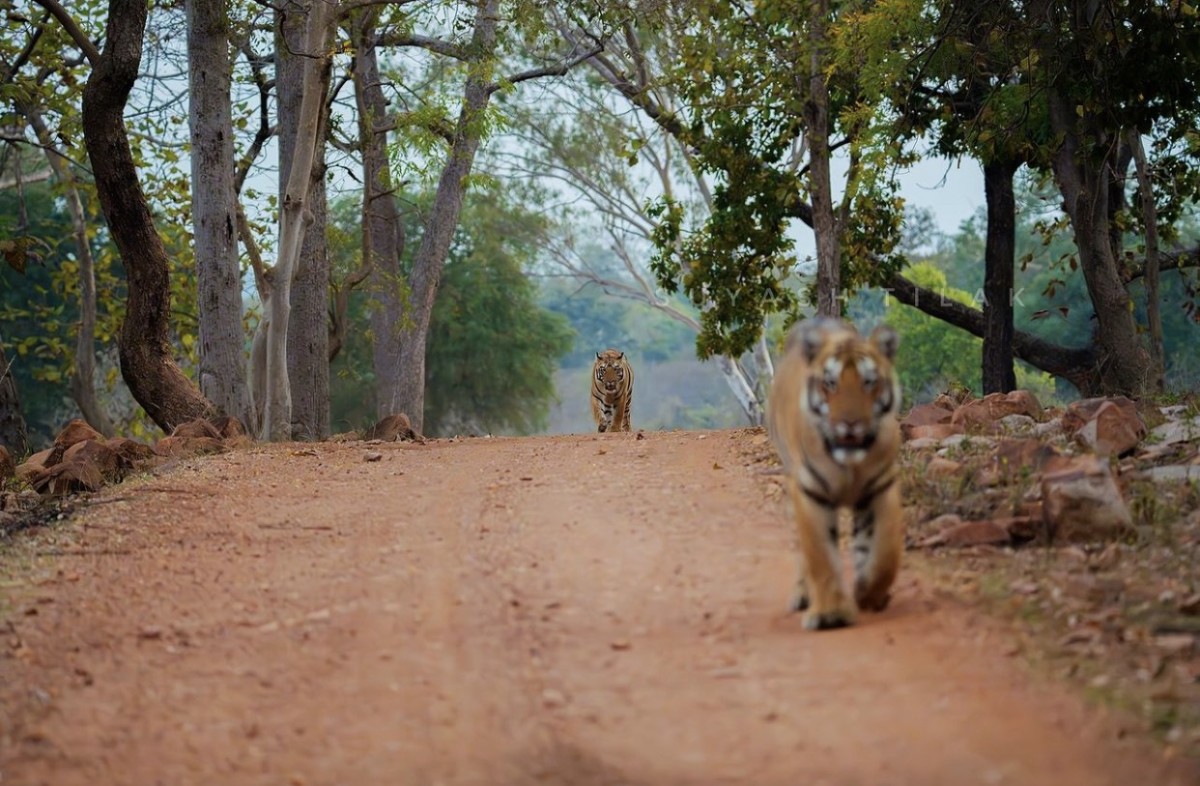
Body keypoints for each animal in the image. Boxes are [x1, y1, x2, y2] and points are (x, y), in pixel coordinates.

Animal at [765, 317, 904, 631]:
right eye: (830, 383)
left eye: (869, 381)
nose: (849, 423)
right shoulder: (810, 491)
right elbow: (820, 556)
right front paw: (831, 614)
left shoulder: (881, 485)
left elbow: (886, 549)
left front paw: (869, 593)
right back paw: (804, 595)